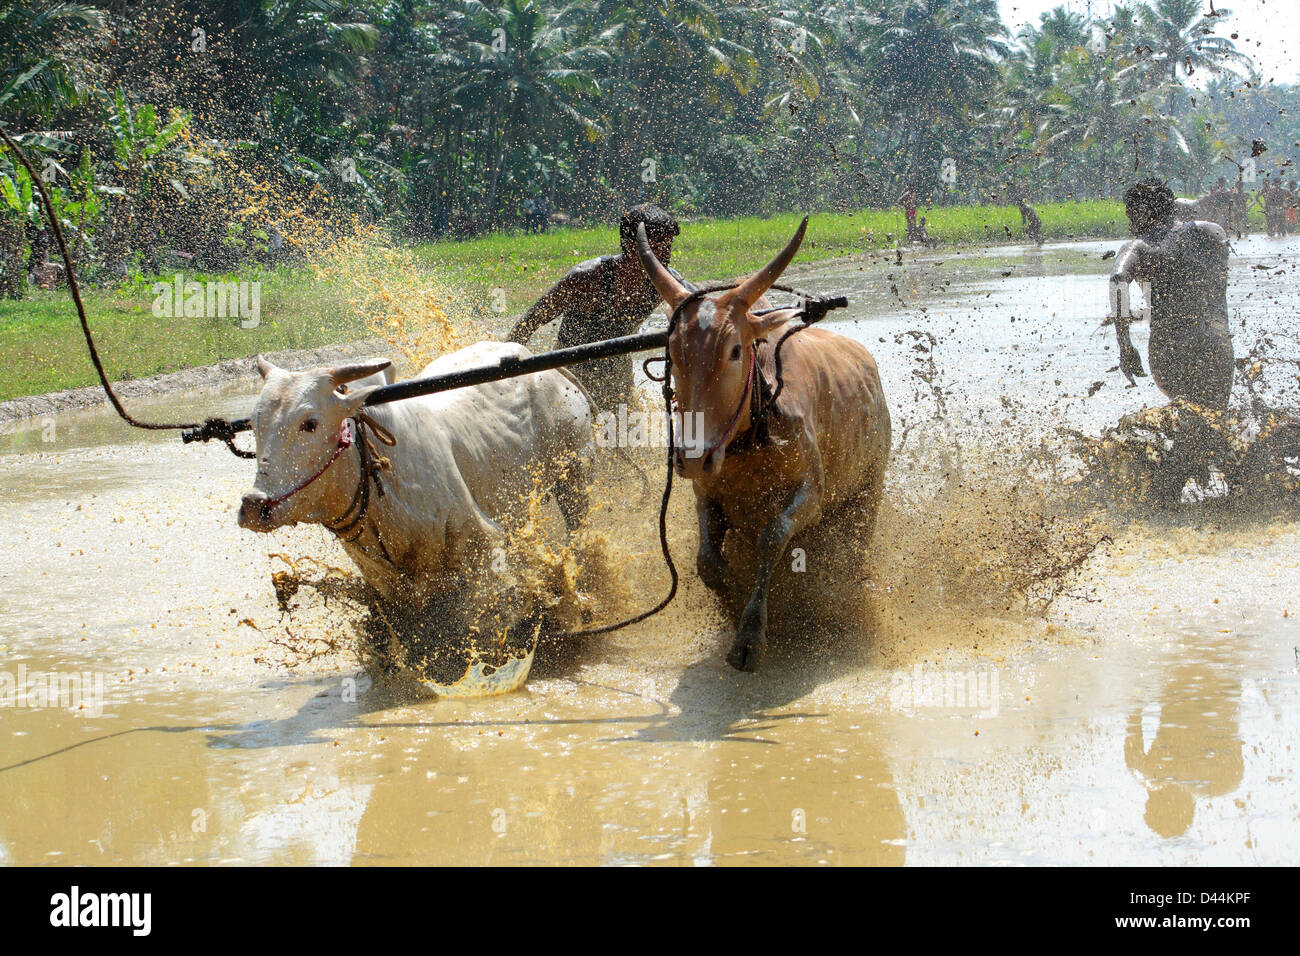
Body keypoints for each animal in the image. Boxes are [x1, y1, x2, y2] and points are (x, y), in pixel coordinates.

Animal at [237, 342, 593, 609]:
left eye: (310, 423)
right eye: (254, 423)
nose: (254, 505)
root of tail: (542, 366)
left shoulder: (486, 552)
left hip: (578, 477)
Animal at [635, 217, 891, 671]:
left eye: (735, 350)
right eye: (674, 354)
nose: (694, 457)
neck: (750, 440)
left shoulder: (812, 494)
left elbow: (772, 537)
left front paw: (750, 635)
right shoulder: (705, 494)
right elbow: (707, 563)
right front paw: (730, 608)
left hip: (868, 490)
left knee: (855, 549)